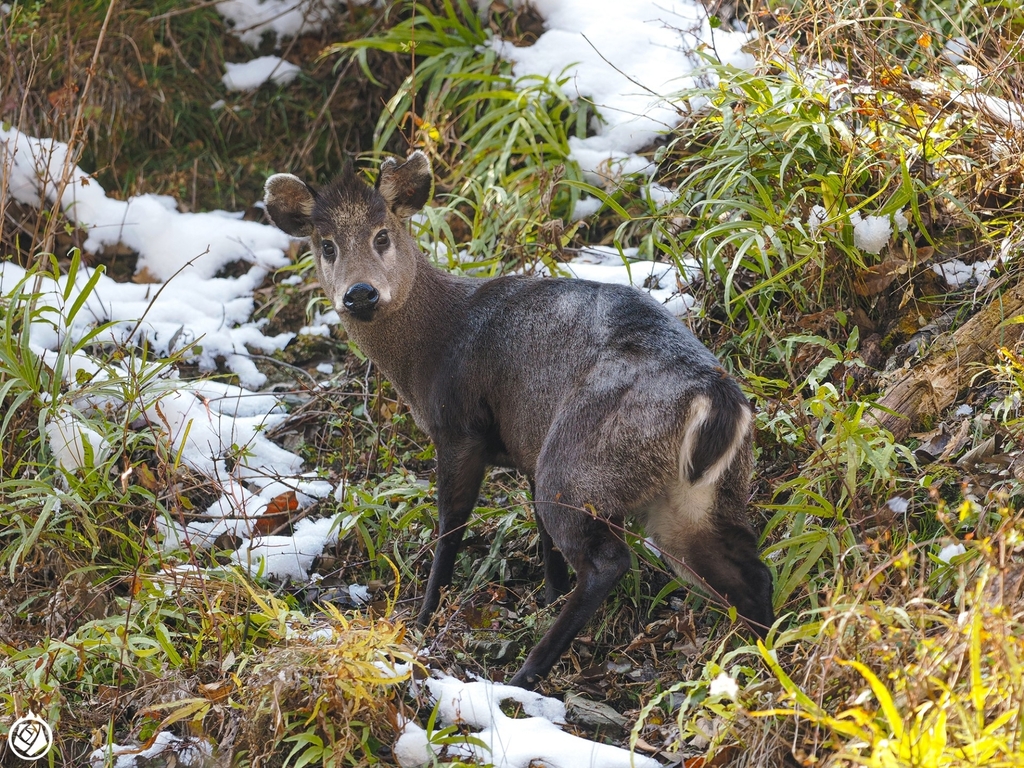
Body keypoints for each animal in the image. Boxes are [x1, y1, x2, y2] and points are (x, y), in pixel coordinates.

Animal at [263, 152, 774, 689]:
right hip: (694, 494)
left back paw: (527, 672)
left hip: (579, 462)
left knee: (609, 561)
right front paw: (548, 593)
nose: (360, 294)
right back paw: (763, 655)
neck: (431, 350)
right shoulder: (526, 444)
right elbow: (538, 532)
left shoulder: (459, 426)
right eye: (327, 245)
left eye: (382, 234)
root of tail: (715, 397)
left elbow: (451, 522)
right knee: (748, 569)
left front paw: (422, 618)